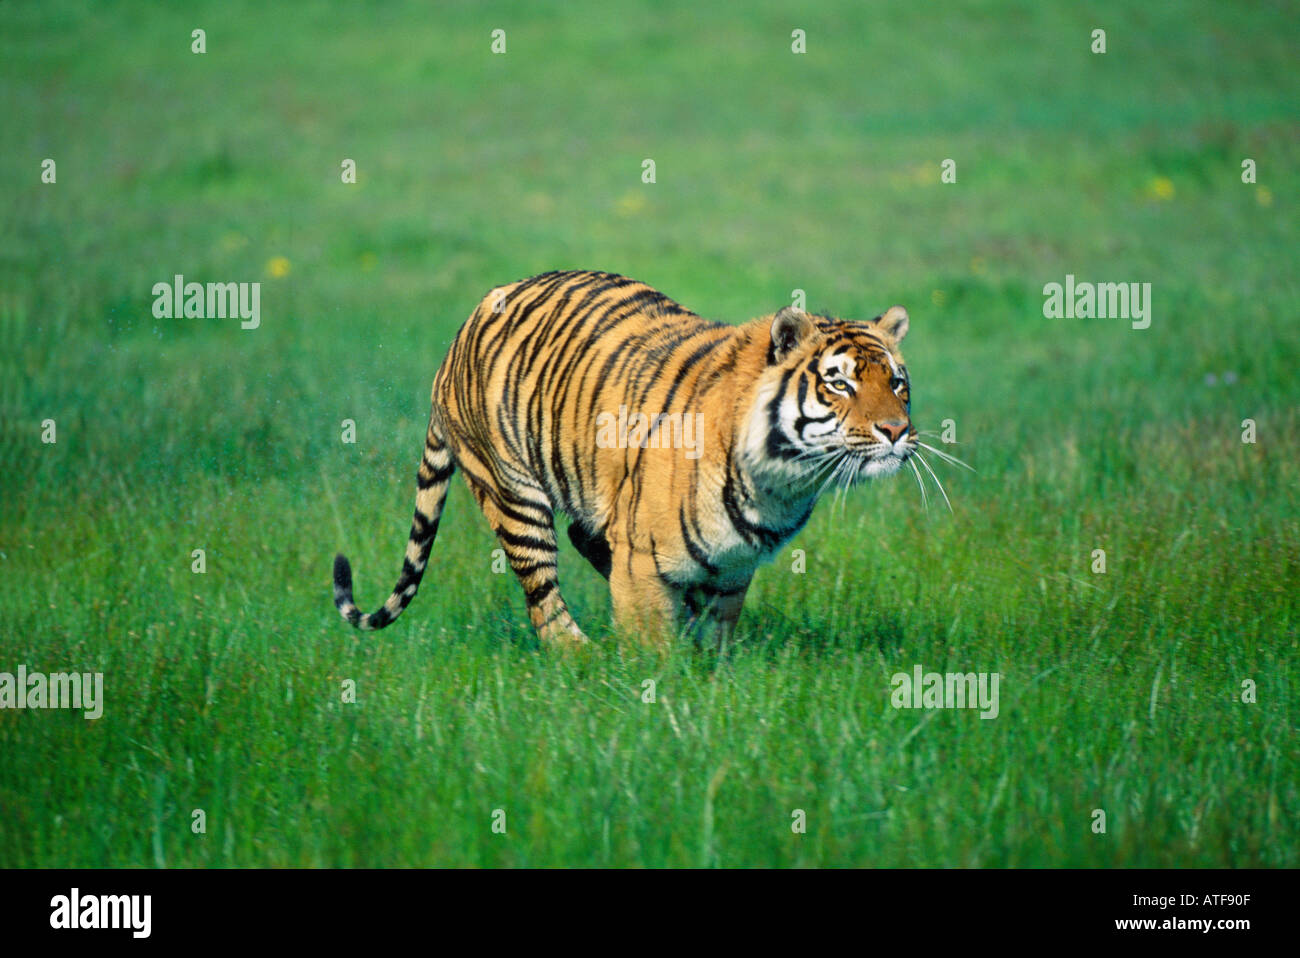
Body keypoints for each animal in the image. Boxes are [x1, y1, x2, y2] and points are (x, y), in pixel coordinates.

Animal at [332, 269, 915, 647]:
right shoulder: (644, 553)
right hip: (513, 493)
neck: (781, 482)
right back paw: (580, 658)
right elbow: (650, 646)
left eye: (896, 383)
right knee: (544, 596)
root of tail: (460, 334)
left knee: (584, 536)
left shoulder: (732, 568)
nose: (896, 430)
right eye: (839, 384)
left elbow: (716, 635)